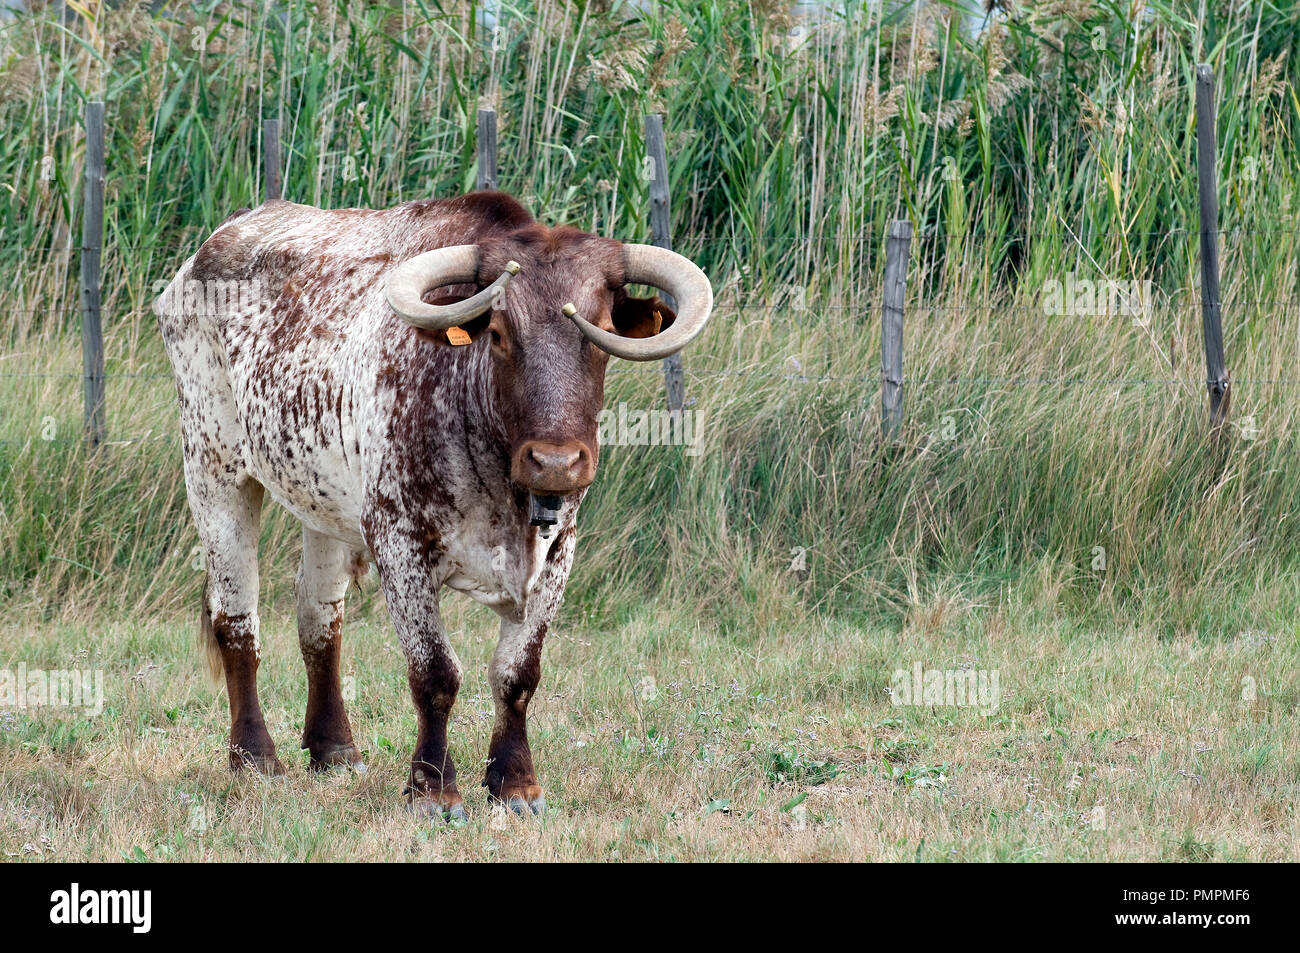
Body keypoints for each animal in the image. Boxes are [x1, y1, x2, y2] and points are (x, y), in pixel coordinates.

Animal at [154, 191, 712, 818]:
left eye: (602, 332)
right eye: (499, 333)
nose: (555, 463)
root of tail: (219, 239)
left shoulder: (559, 552)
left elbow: (517, 675)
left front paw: (516, 784)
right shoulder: (400, 544)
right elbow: (435, 674)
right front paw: (434, 789)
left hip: (323, 501)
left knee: (318, 617)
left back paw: (334, 749)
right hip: (213, 468)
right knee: (236, 620)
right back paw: (254, 757)